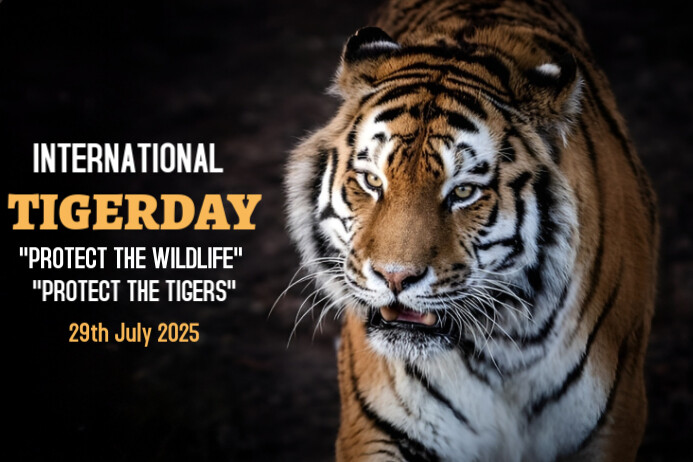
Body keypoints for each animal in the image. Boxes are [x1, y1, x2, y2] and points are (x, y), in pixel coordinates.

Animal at [285, 0, 658, 460]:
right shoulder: (376, 427)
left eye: (463, 191)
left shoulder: (612, 423)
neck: (505, 348)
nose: (394, 277)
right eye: (372, 181)